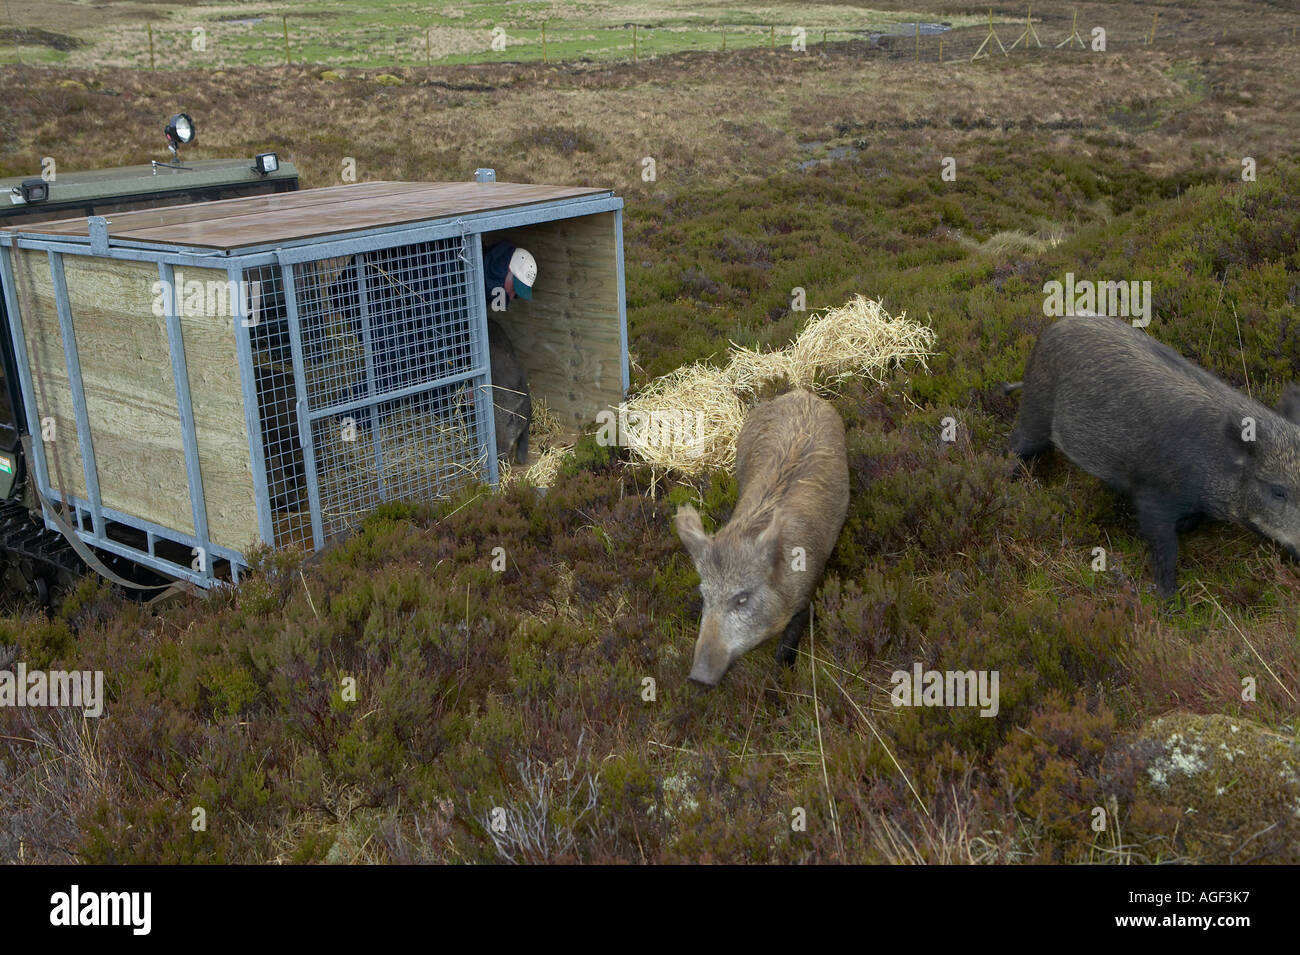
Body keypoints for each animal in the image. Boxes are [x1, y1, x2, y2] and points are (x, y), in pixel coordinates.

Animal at [675, 389, 850, 686]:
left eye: (742, 598)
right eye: (704, 596)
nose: (697, 677)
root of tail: (800, 393)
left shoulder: (807, 592)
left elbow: (788, 645)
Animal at [1009, 314, 1300, 598]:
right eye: (1277, 491)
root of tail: (1052, 329)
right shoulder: (1154, 496)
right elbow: (1164, 548)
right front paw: (1169, 599)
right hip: (1037, 408)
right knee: (1015, 445)